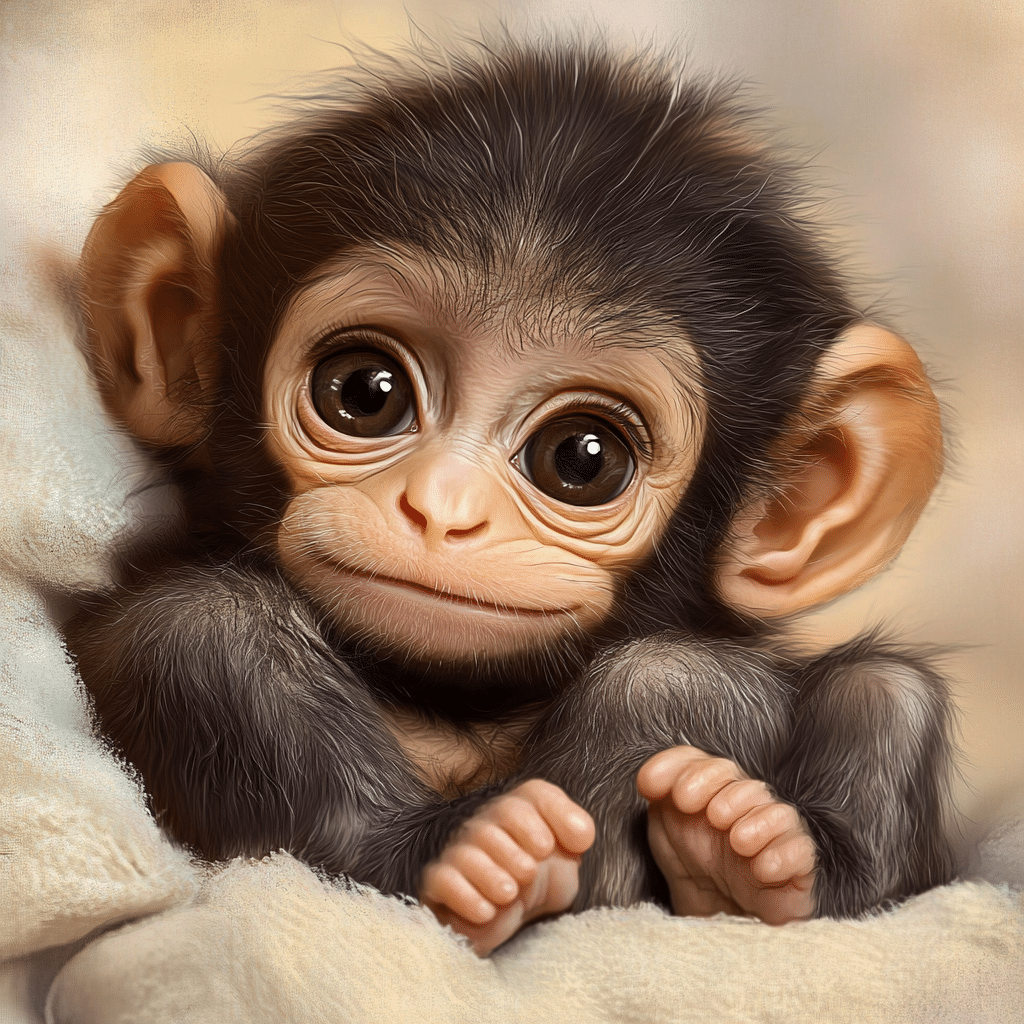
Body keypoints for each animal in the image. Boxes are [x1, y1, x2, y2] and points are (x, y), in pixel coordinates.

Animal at [63, 39, 958, 956]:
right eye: (365, 392)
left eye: (584, 458)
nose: (442, 509)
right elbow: (198, 630)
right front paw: (465, 853)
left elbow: (874, 703)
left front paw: (782, 853)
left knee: (858, 684)